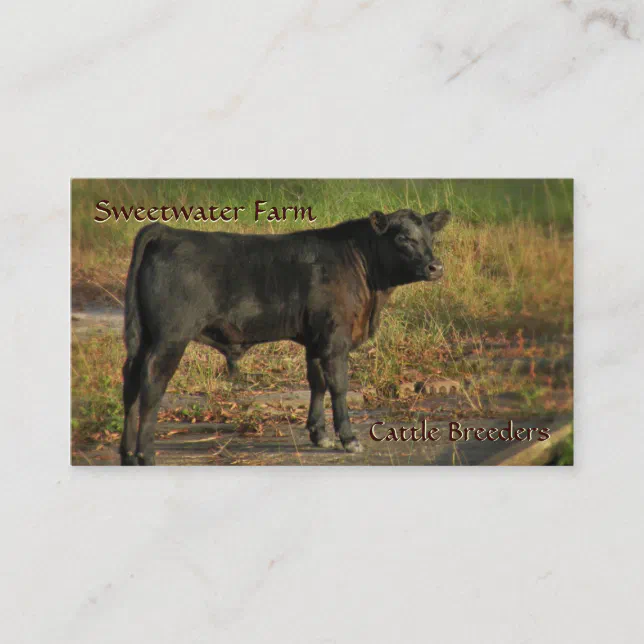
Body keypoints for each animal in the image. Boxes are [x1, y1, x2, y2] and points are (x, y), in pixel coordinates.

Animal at [119, 208, 451, 465]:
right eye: (402, 238)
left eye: (431, 238)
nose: (435, 267)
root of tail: (168, 232)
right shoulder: (336, 339)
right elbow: (339, 385)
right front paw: (348, 438)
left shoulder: (316, 339)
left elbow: (317, 382)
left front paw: (319, 434)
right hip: (170, 338)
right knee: (152, 383)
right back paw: (146, 454)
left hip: (143, 337)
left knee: (131, 382)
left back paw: (126, 454)